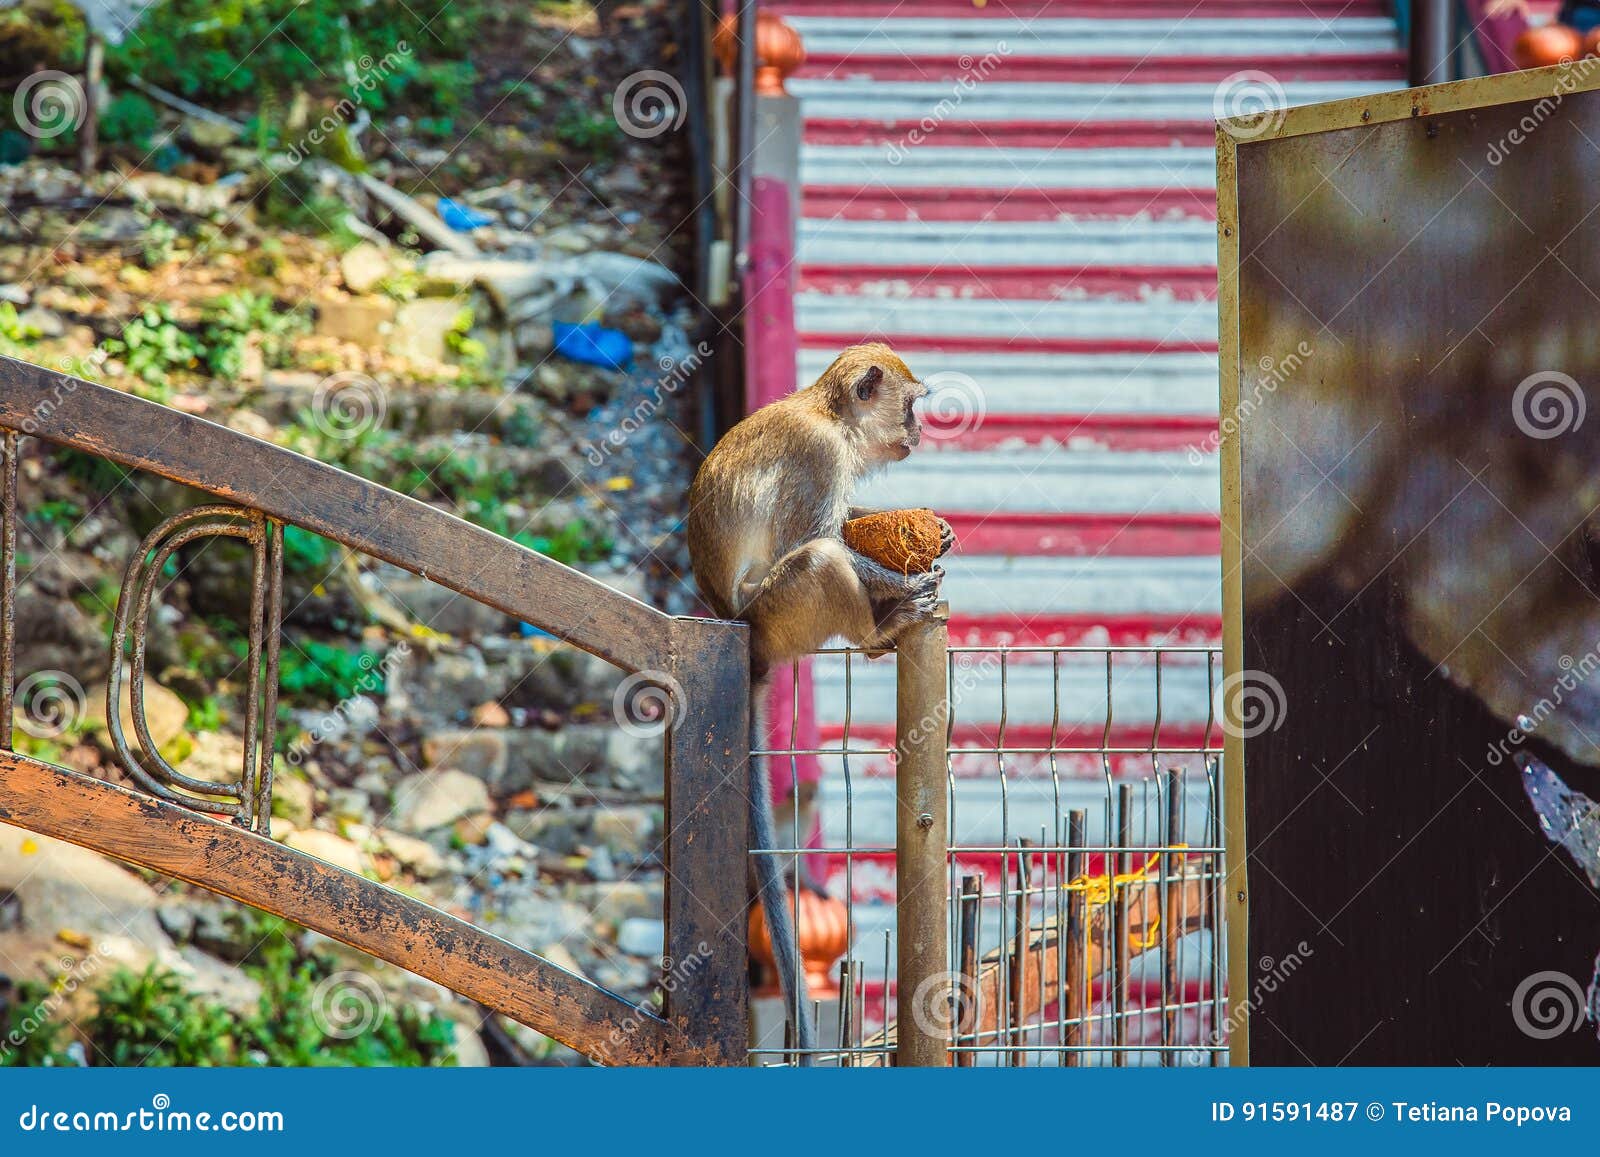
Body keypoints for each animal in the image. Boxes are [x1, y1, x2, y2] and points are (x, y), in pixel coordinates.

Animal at [686, 342, 953, 1062]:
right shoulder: (817, 458)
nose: (920, 432)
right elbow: (816, 538)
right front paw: (911, 577)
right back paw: (880, 630)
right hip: (778, 614)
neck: (829, 415)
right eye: (911, 405)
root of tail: (743, 634)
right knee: (818, 560)